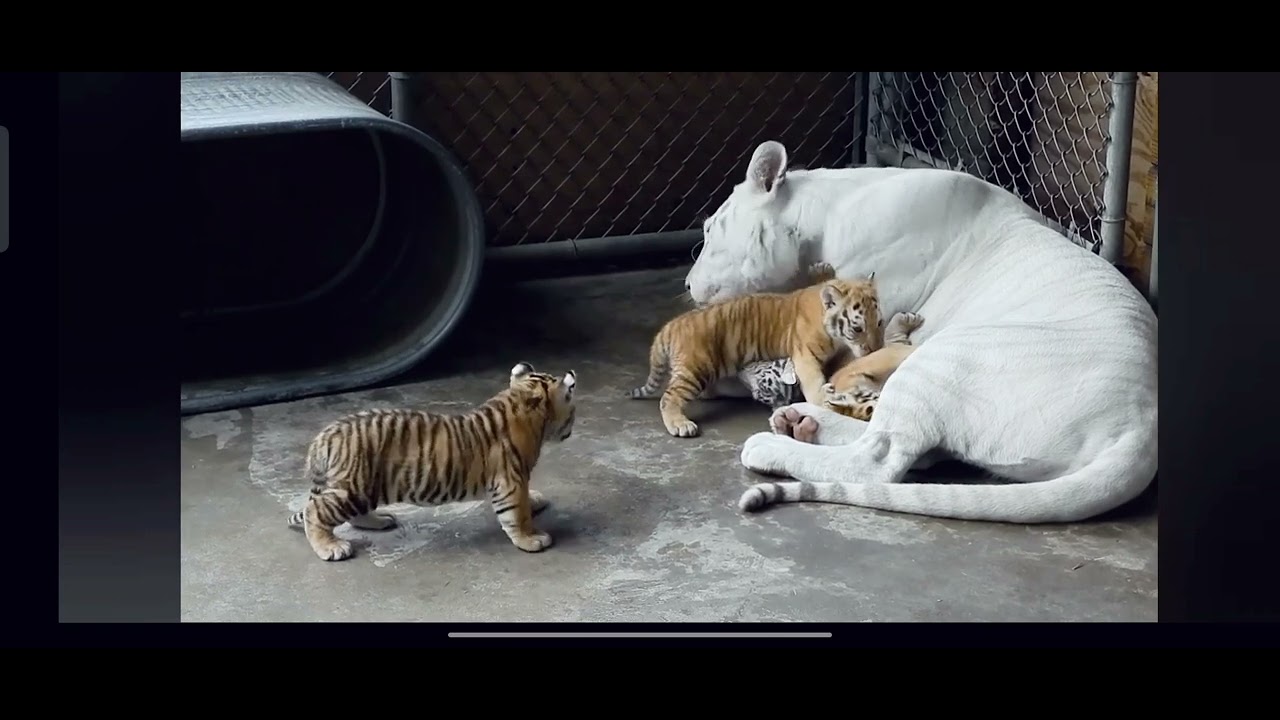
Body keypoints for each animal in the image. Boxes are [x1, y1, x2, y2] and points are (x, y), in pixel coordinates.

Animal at [286, 361, 578, 561]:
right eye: (571, 406)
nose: (572, 427)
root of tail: (324, 437)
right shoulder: (510, 480)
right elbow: (517, 514)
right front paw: (532, 539)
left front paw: (535, 501)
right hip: (353, 488)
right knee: (315, 511)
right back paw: (331, 547)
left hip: (362, 488)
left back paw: (381, 520)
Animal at [628, 264, 884, 438]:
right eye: (858, 328)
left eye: (879, 323)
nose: (876, 349)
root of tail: (671, 326)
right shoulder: (805, 356)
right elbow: (814, 381)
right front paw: (823, 400)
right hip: (695, 369)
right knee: (669, 397)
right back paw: (681, 425)